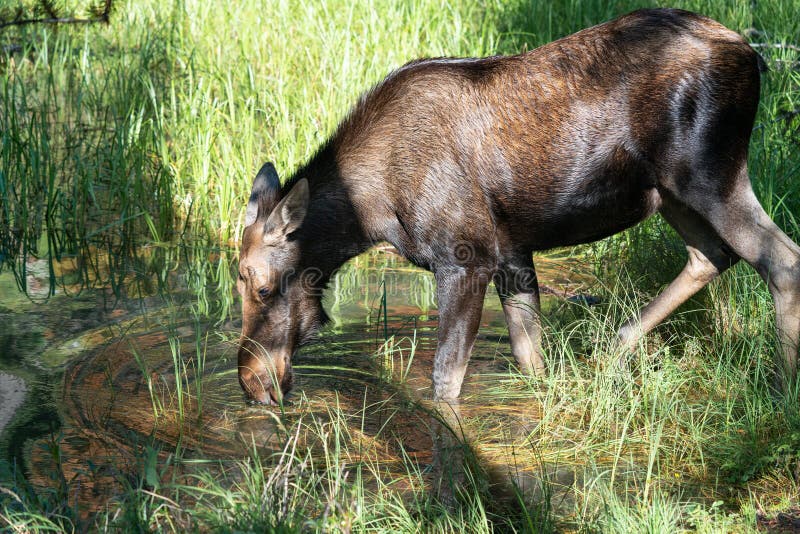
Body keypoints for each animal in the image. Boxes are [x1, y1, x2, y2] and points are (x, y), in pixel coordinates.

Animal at [235, 8, 800, 405]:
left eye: (262, 286)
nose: (250, 381)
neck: (371, 212)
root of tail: (752, 55)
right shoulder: (511, 254)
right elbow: (530, 358)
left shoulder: (466, 256)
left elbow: (445, 380)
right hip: (670, 193)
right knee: (712, 255)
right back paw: (613, 347)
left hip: (710, 174)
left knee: (780, 259)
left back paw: (780, 389)